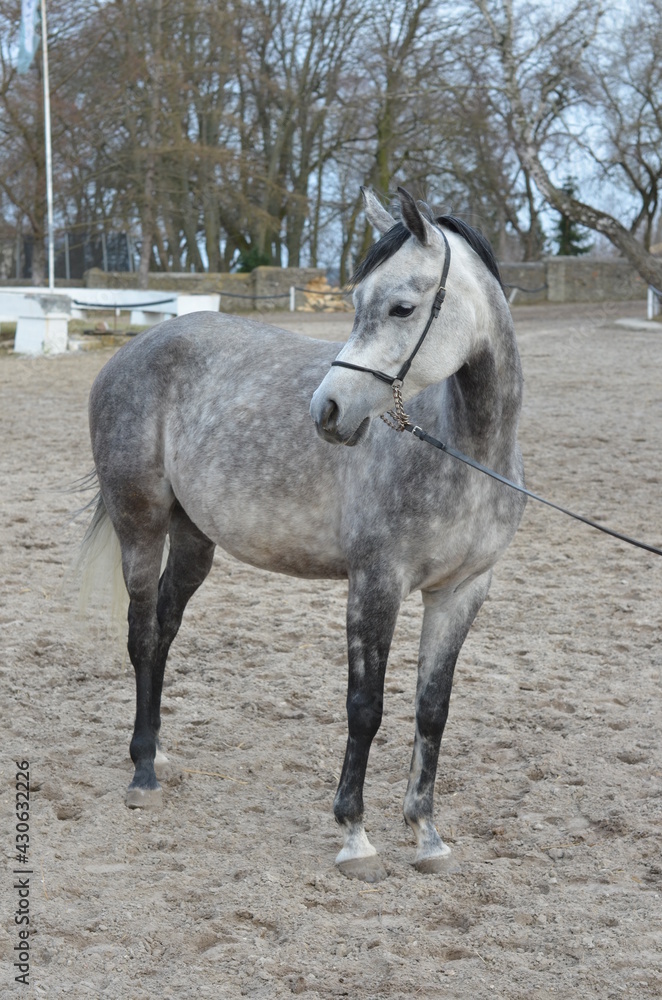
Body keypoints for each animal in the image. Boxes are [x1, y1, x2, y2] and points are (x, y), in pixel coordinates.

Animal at [80, 186, 525, 882]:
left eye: (402, 307)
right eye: (355, 300)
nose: (328, 411)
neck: (463, 452)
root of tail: (134, 347)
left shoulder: (462, 592)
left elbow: (432, 709)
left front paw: (426, 834)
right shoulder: (376, 583)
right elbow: (365, 706)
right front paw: (355, 835)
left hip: (193, 539)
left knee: (166, 628)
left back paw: (154, 751)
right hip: (141, 525)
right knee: (143, 635)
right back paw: (143, 775)